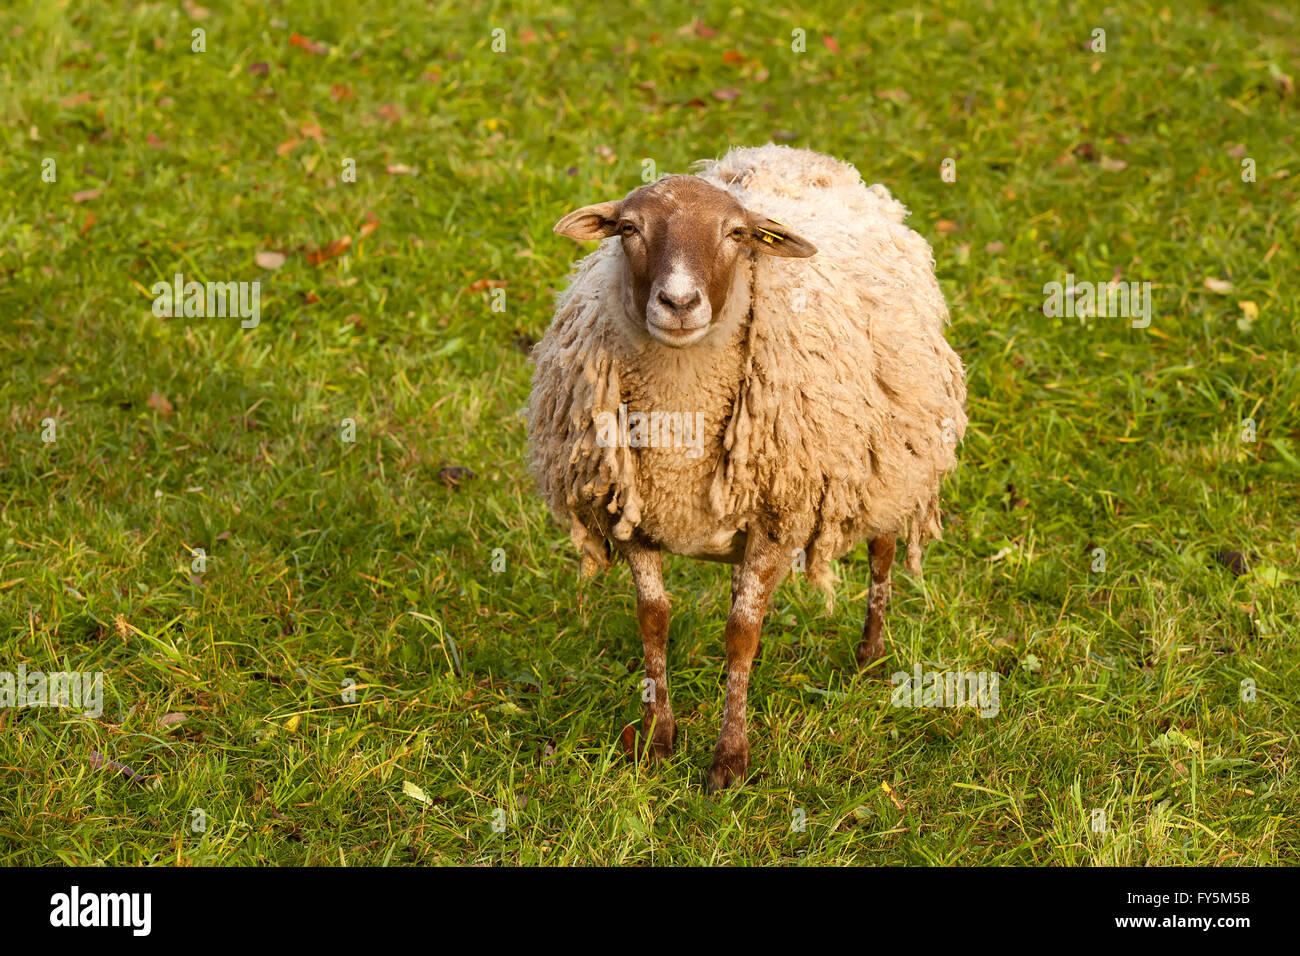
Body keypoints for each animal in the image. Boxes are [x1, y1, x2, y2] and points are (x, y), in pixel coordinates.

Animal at [528, 145, 967, 791]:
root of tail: (798, 155)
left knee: (882, 552)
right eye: (629, 229)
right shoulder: (629, 513)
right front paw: (657, 741)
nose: (679, 304)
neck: (681, 414)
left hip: (891, 457)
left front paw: (728, 763)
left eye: (735, 234)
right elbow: (653, 619)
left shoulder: (778, 520)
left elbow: (743, 633)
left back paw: (869, 657)